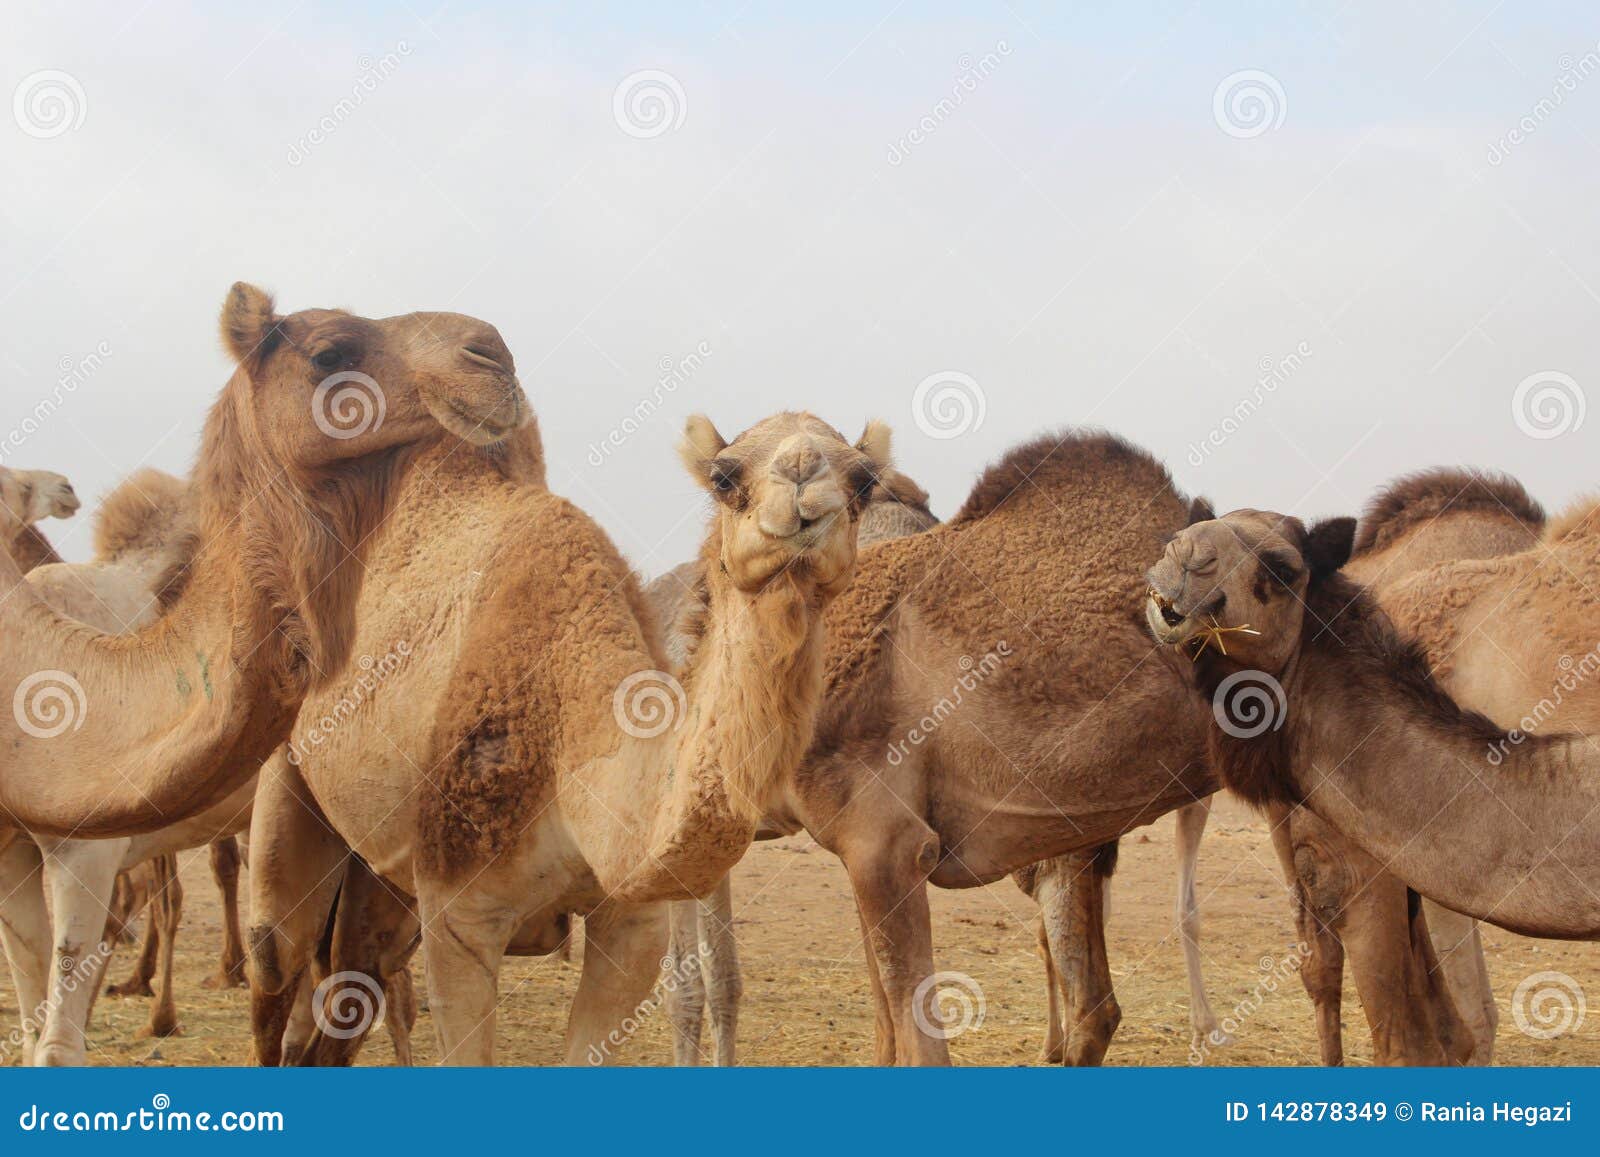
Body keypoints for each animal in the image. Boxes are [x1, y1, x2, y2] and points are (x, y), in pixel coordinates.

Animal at [0, 284, 529, 1063]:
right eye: (330, 353)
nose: (493, 353)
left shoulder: (87, 848)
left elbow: (58, 1037)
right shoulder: (16, 852)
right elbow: (37, 1023)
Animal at [246, 410, 887, 1067]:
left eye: (865, 481)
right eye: (725, 476)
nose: (804, 479)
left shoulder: (631, 924)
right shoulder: (459, 911)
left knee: (354, 978)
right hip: (287, 772)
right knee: (275, 961)